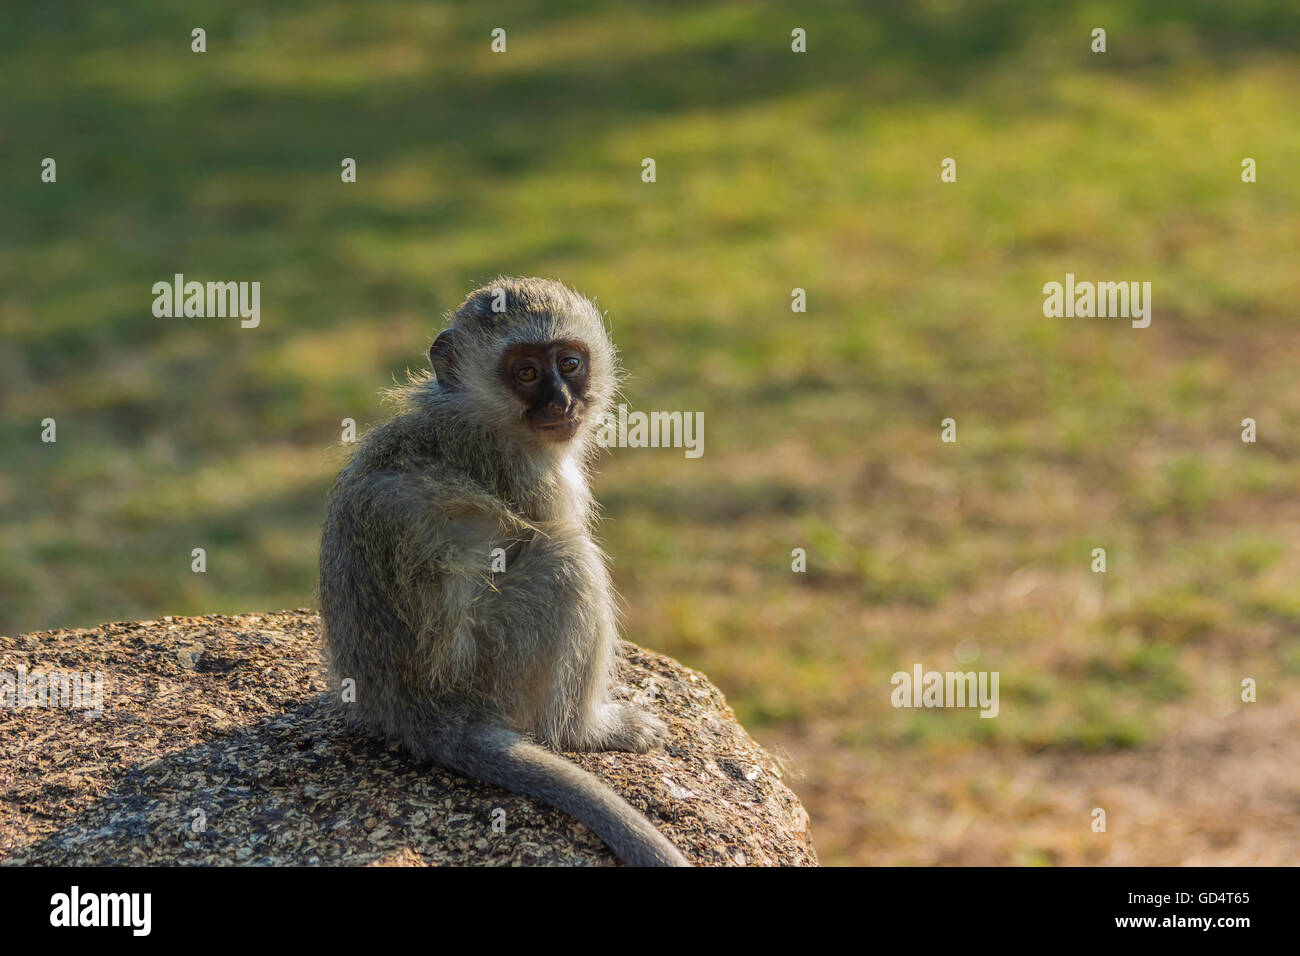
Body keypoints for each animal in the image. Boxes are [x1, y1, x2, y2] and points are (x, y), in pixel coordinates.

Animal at [319, 277, 689, 867]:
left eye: (569, 363)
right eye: (527, 373)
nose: (563, 401)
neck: (479, 414)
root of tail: (416, 709)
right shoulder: (533, 478)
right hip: (495, 668)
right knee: (568, 562)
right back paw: (586, 730)